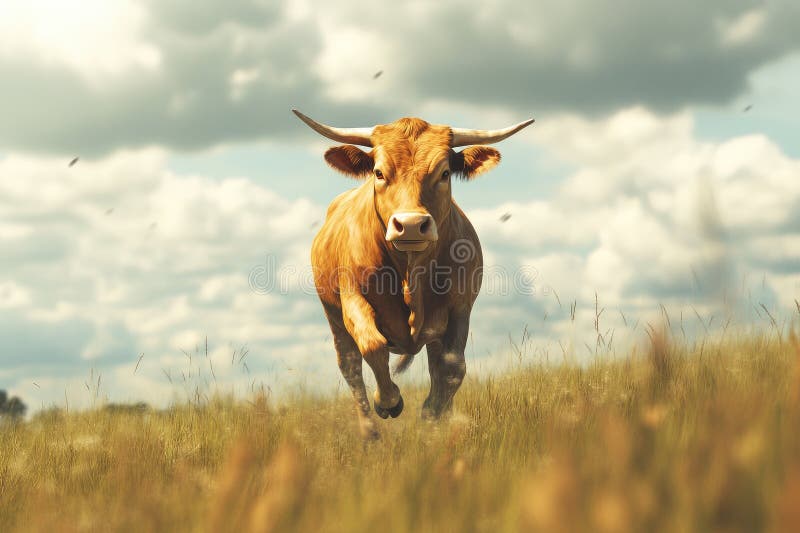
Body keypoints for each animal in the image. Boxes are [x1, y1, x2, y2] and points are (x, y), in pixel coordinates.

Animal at [293, 110, 534, 439]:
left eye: (444, 173)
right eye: (379, 173)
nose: (409, 225)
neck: (411, 272)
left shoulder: (460, 308)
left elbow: (452, 369)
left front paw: (432, 420)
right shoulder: (352, 297)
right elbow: (373, 346)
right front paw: (388, 401)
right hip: (333, 315)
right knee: (351, 366)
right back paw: (370, 432)